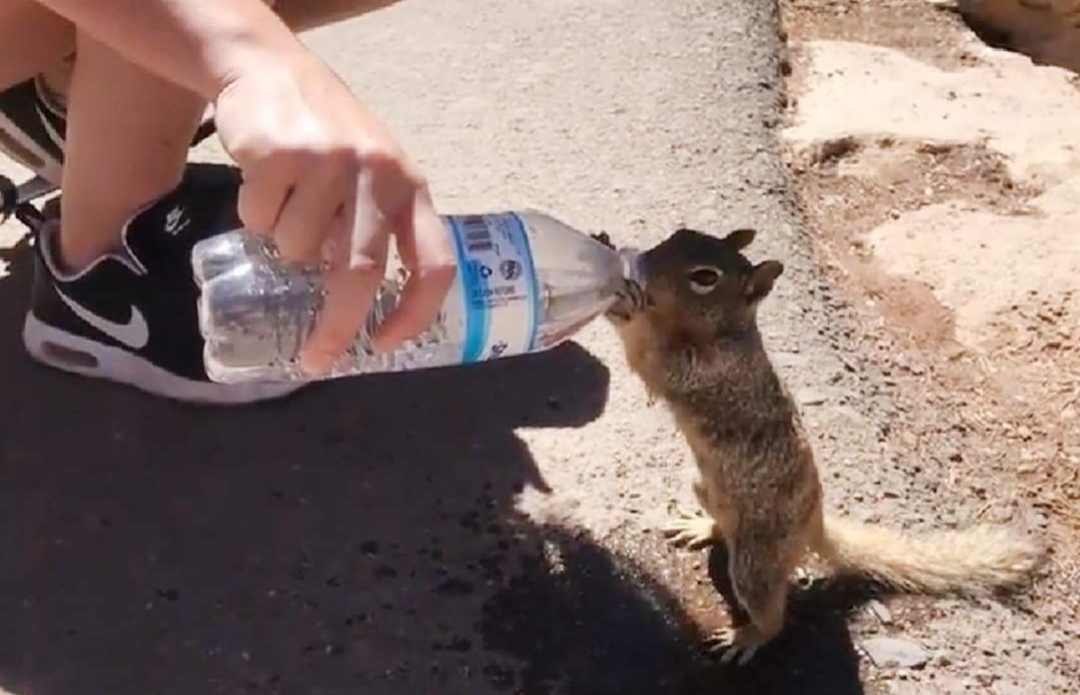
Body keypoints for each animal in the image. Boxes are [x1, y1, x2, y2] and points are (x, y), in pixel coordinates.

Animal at [602, 226, 1049, 665]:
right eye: (679, 234)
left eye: (705, 277)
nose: (642, 264)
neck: (728, 331)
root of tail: (813, 524)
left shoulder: (702, 368)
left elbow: (647, 355)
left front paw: (620, 302)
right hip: (704, 486)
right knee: (722, 526)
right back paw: (702, 526)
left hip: (755, 562)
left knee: (771, 611)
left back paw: (746, 635)